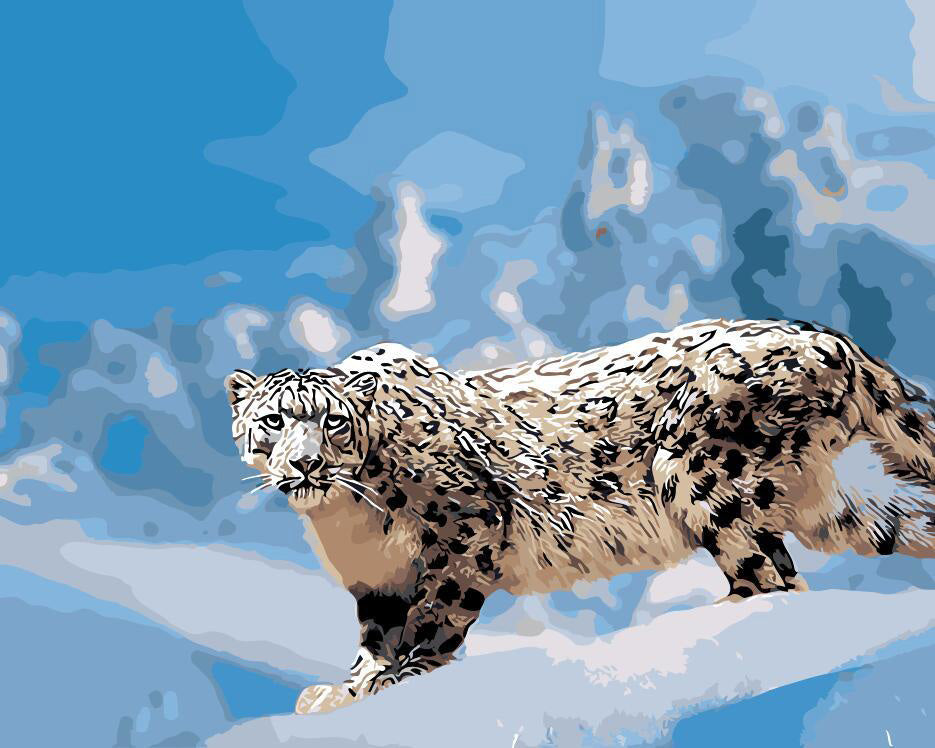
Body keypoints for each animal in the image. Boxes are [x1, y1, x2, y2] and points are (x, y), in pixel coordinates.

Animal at [224, 318, 935, 714]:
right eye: (273, 421)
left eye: (333, 423)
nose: (307, 465)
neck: (346, 524)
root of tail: (831, 338)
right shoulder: (377, 584)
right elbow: (373, 640)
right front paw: (343, 691)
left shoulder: (465, 529)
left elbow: (433, 618)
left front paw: (402, 679)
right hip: (832, 501)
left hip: (695, 470)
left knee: (769, 574)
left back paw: (696, 622)